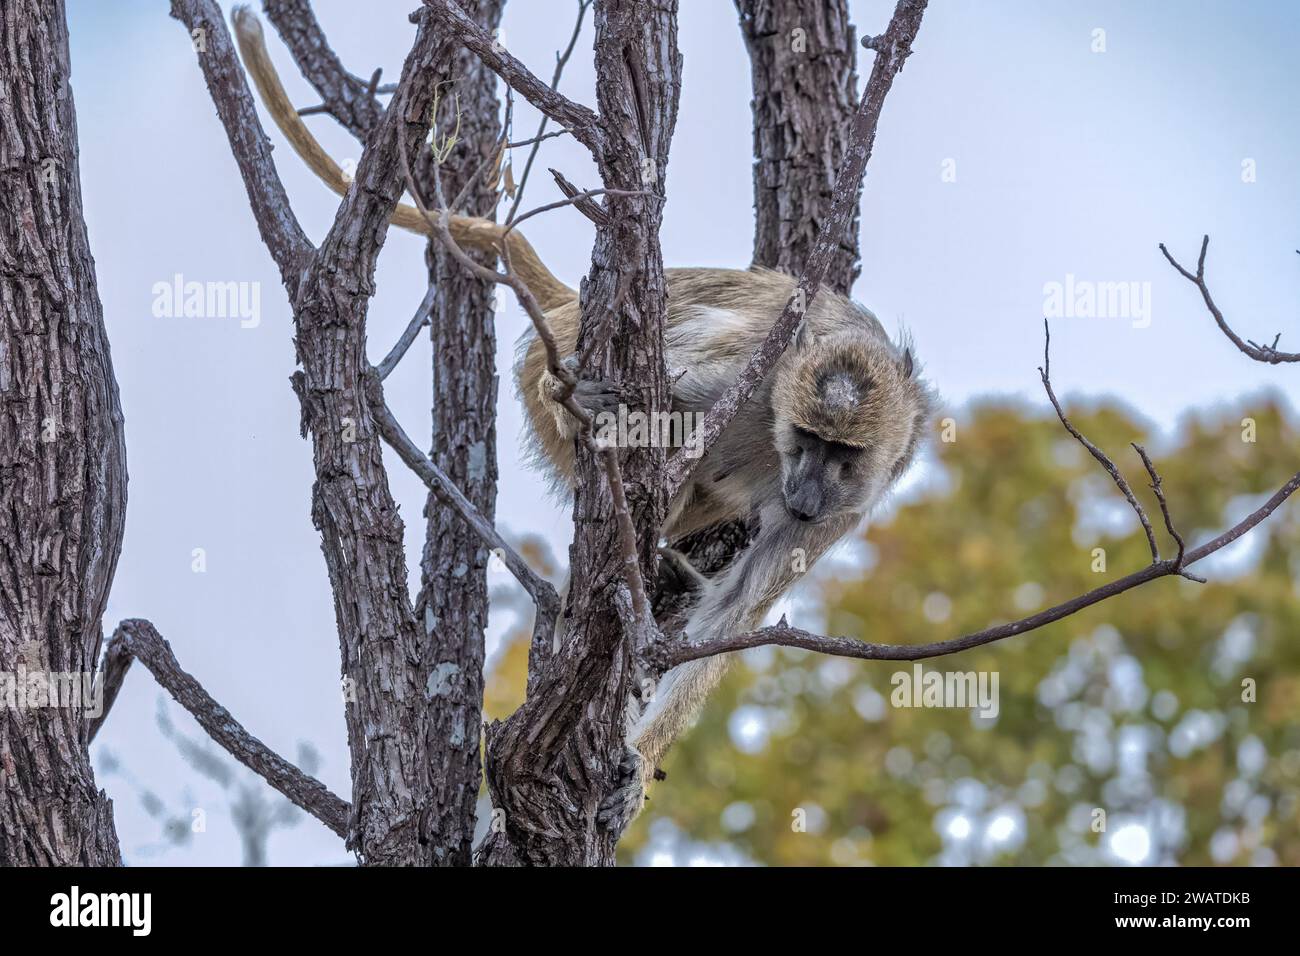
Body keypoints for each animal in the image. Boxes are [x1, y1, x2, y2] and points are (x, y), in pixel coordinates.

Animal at [232, 7, 935, 831]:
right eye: (810, 440)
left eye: (841, 455)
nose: (805, 493)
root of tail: (568, 303)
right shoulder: (756, 369)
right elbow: (663, 385)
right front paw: (597, 403)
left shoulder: (849, 508)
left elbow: (730, 620)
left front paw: (637, 759)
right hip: (564, 365)